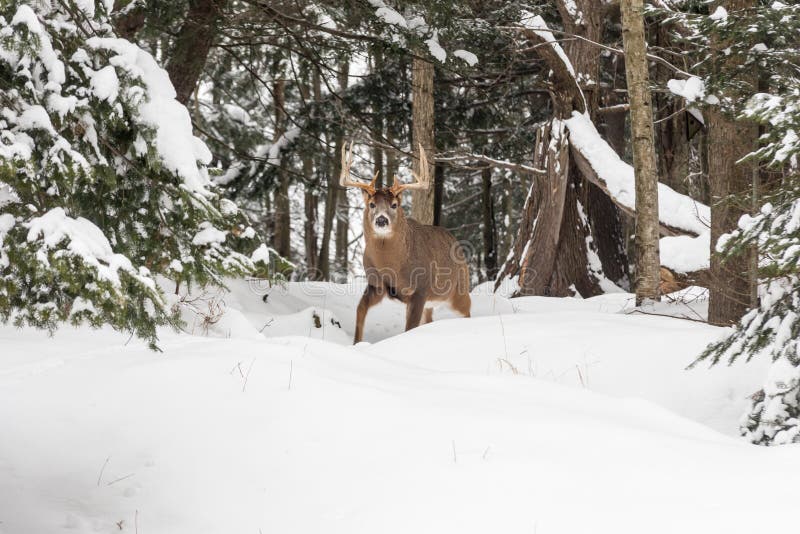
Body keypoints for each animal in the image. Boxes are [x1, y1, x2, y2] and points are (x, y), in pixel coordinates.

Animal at [339, 142, 471, 344]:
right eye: (371, 204)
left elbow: (409, 328)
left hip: (459, 289)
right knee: (429, 319)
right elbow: (360, 309)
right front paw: (356, 343)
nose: (381, 220)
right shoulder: (376, 284)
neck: (392, 267)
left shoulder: (420, 288)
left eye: (394, 205)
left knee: (467, 310)